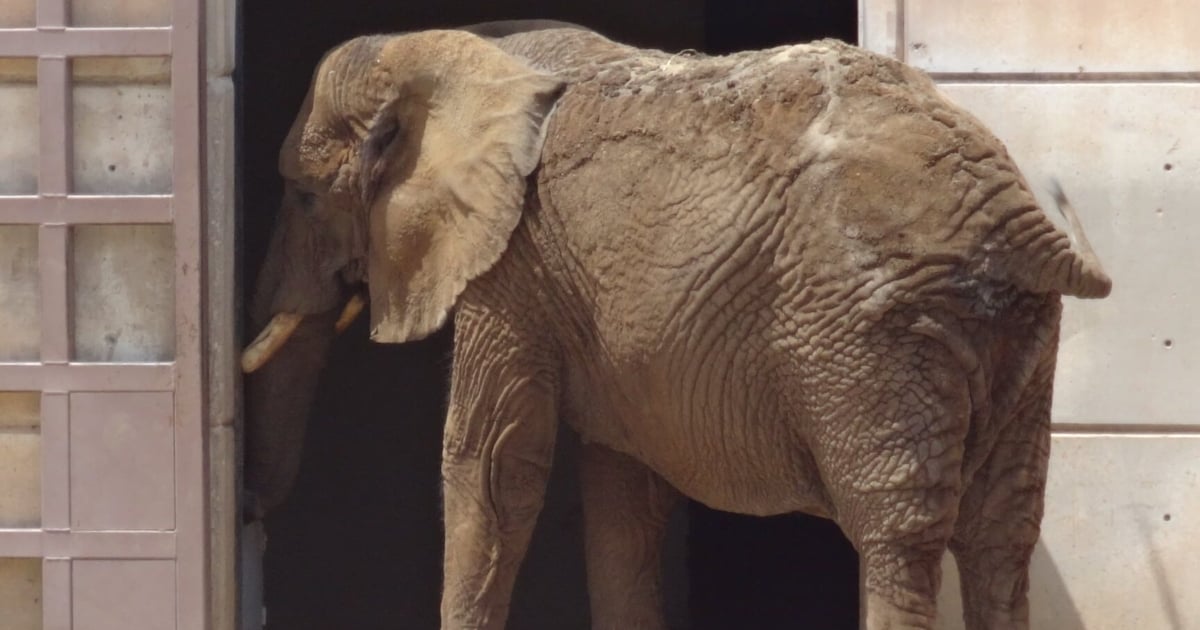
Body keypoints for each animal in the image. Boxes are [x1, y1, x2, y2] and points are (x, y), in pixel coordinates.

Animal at [242, 25, 1111, 630]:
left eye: (306, 197)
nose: (251, 518)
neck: (454, 50)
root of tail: (1015, 213)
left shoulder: (516, 264)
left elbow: (492, 466)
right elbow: (619, 498)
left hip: (874, 331)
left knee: (899, 530)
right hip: (1013, 334)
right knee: (1001, 531)